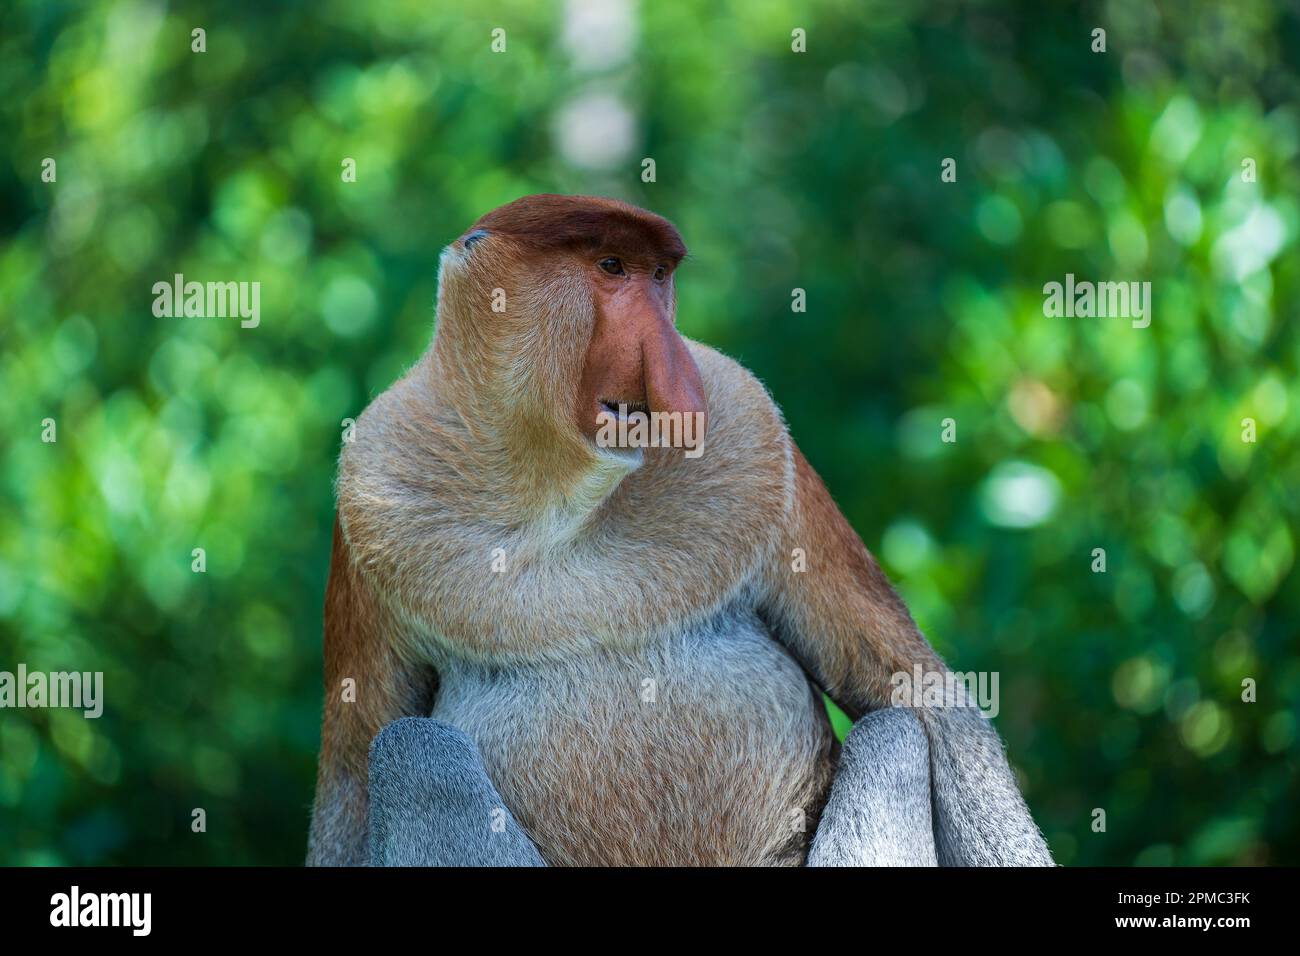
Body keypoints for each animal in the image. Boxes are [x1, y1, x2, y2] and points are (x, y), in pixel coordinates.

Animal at [307, 194, 1053, 867]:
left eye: (660, 276)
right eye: (611, 266)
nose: (675, 372)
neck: (559, 488)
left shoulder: (758, 435)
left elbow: (914, 690)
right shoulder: (371, 490)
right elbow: (352, 772)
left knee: (893, 734)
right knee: (410, 748)